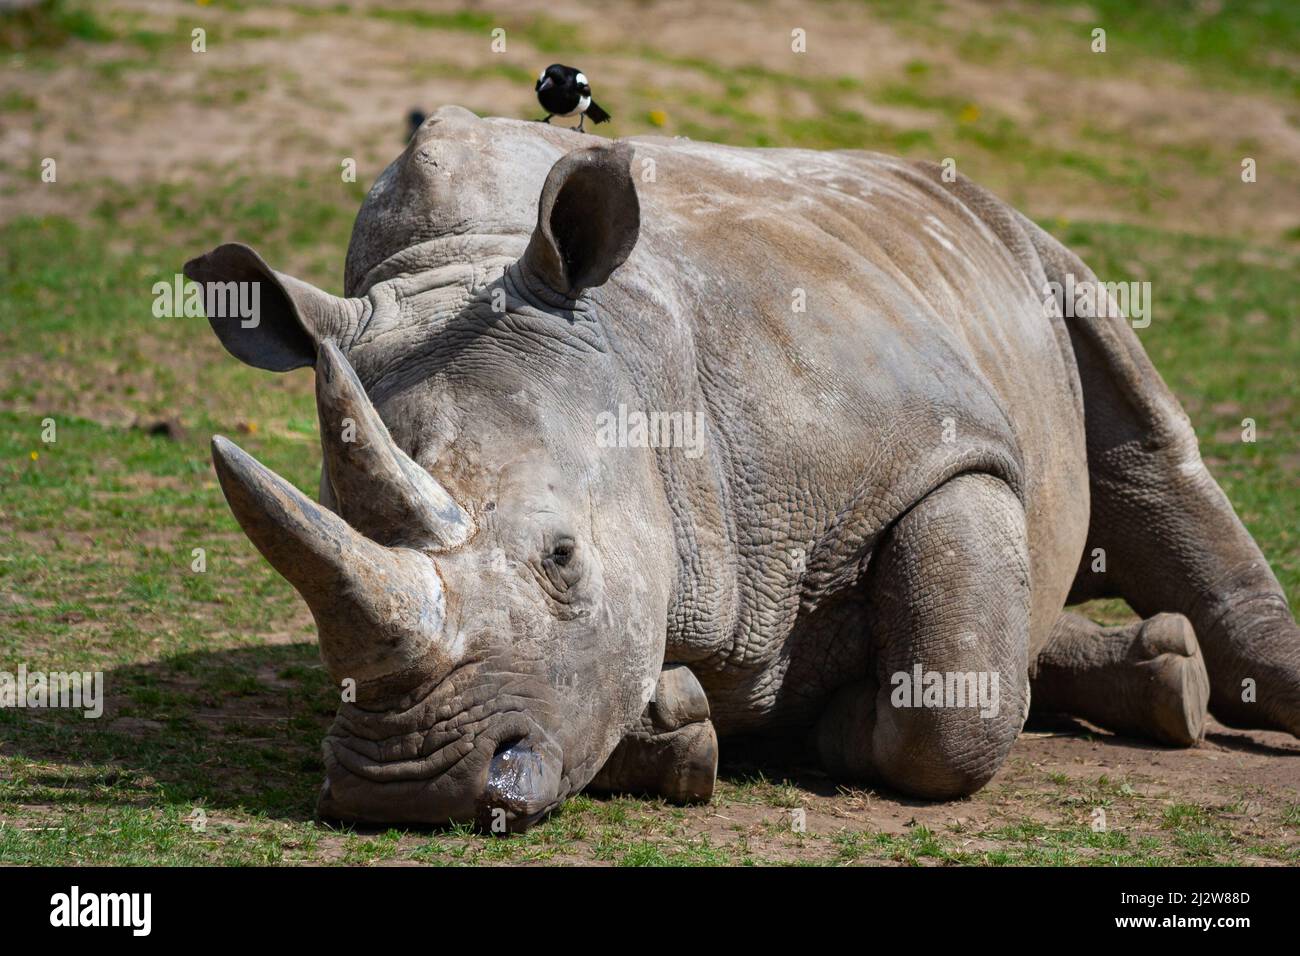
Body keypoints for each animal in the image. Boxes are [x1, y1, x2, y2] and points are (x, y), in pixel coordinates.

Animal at [186, 105, 1300, 831]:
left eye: (563, 559)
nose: (404, 785)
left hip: (1030, 249)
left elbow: (955, 704)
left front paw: (835, 722)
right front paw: (677, 725)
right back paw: (1161, 673)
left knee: (1149, 446)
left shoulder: (936, 450)